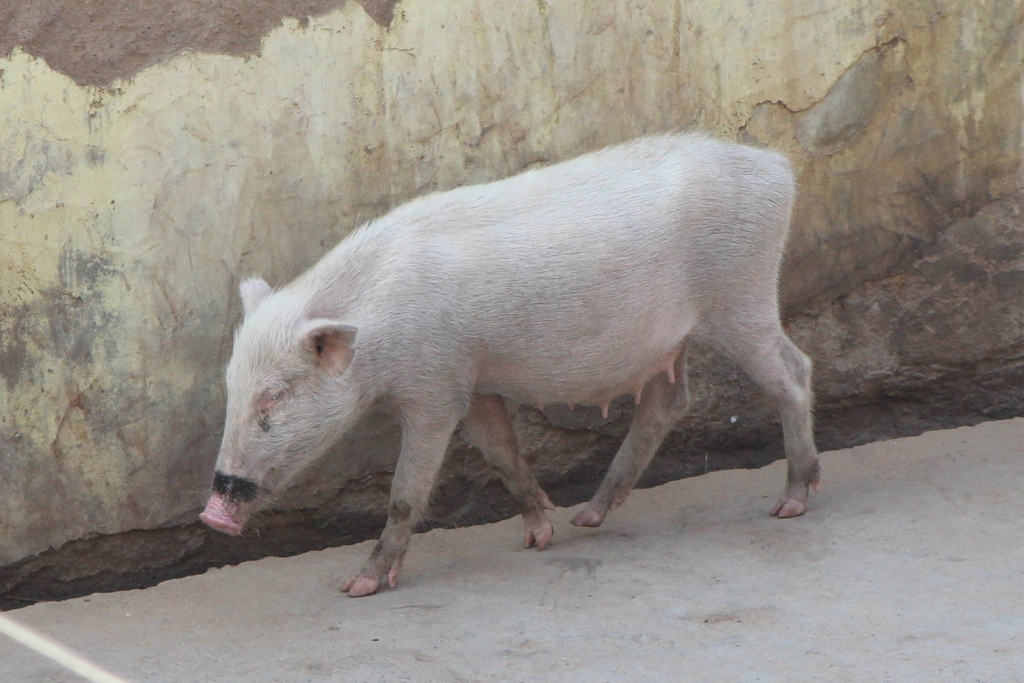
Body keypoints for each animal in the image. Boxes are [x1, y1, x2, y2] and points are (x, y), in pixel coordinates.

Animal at [200, 133, 819, 597]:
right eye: (231, 388)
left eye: (275, 395)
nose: (211, 513)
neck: (376, 330)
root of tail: (777, 166)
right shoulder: (473, 379)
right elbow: (501, 452)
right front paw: (540, 533)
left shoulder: (435, 387)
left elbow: (407, 491)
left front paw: (357, 586)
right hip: (679, 336)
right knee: (668, 404)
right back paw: (587, 517)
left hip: (741, 295)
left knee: (794, 371)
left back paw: (791, 503)